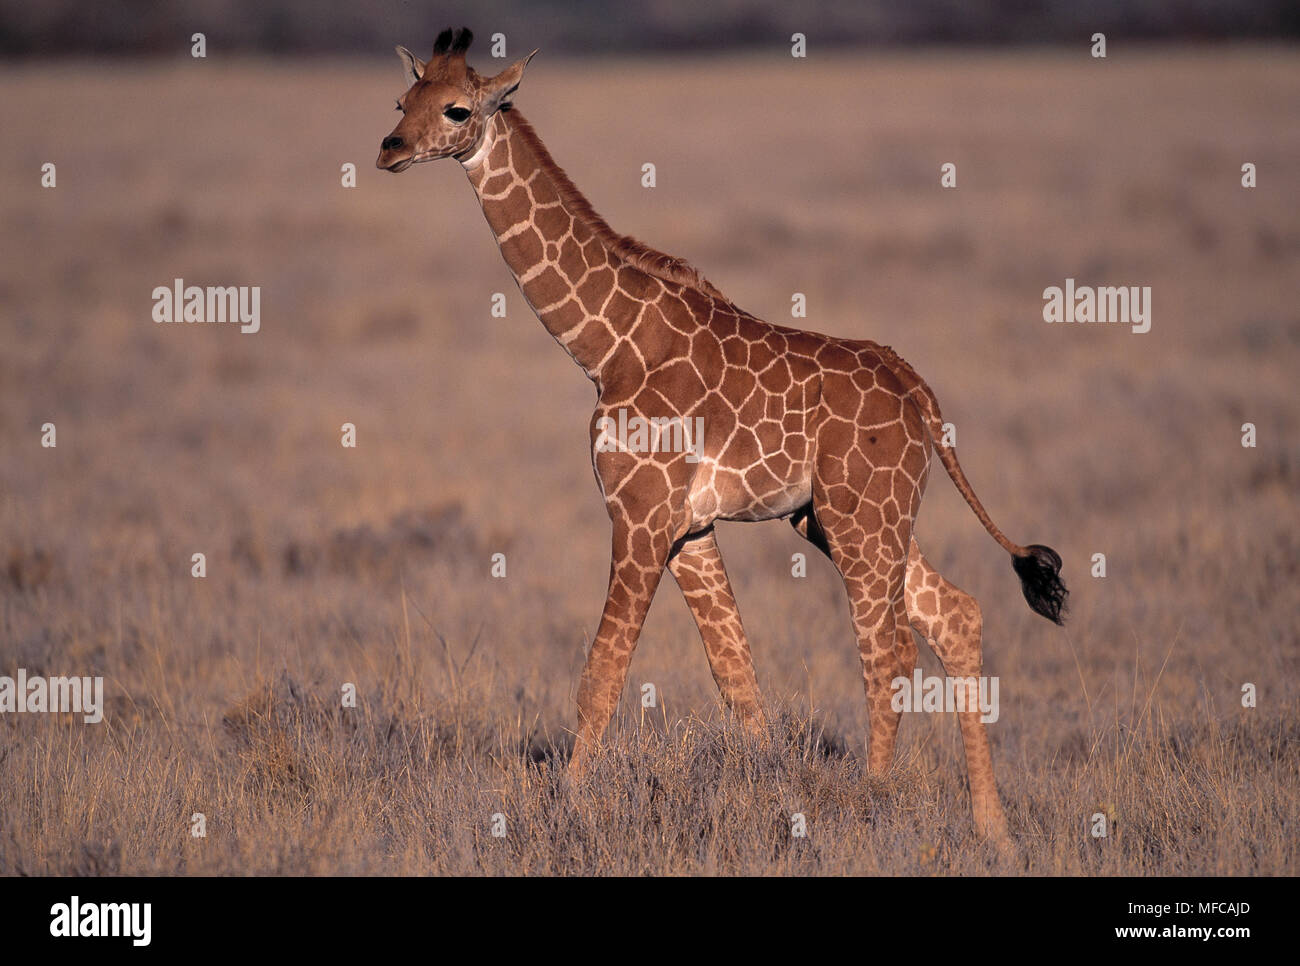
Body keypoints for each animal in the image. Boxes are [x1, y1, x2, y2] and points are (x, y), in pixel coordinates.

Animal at [376, 28, 1068, 844]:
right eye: (401, 100)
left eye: (457, 108)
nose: (388, 149)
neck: (604, 346)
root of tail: (917, 391)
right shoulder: (689, 527)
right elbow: (739, 682)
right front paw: (774, 793)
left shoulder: (640, 516)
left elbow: (602, 673)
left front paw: (568, 807)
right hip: (846, 517)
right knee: (955, 616)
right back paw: (993, 828)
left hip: (861, 519)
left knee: (890, 648)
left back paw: (874, 799)